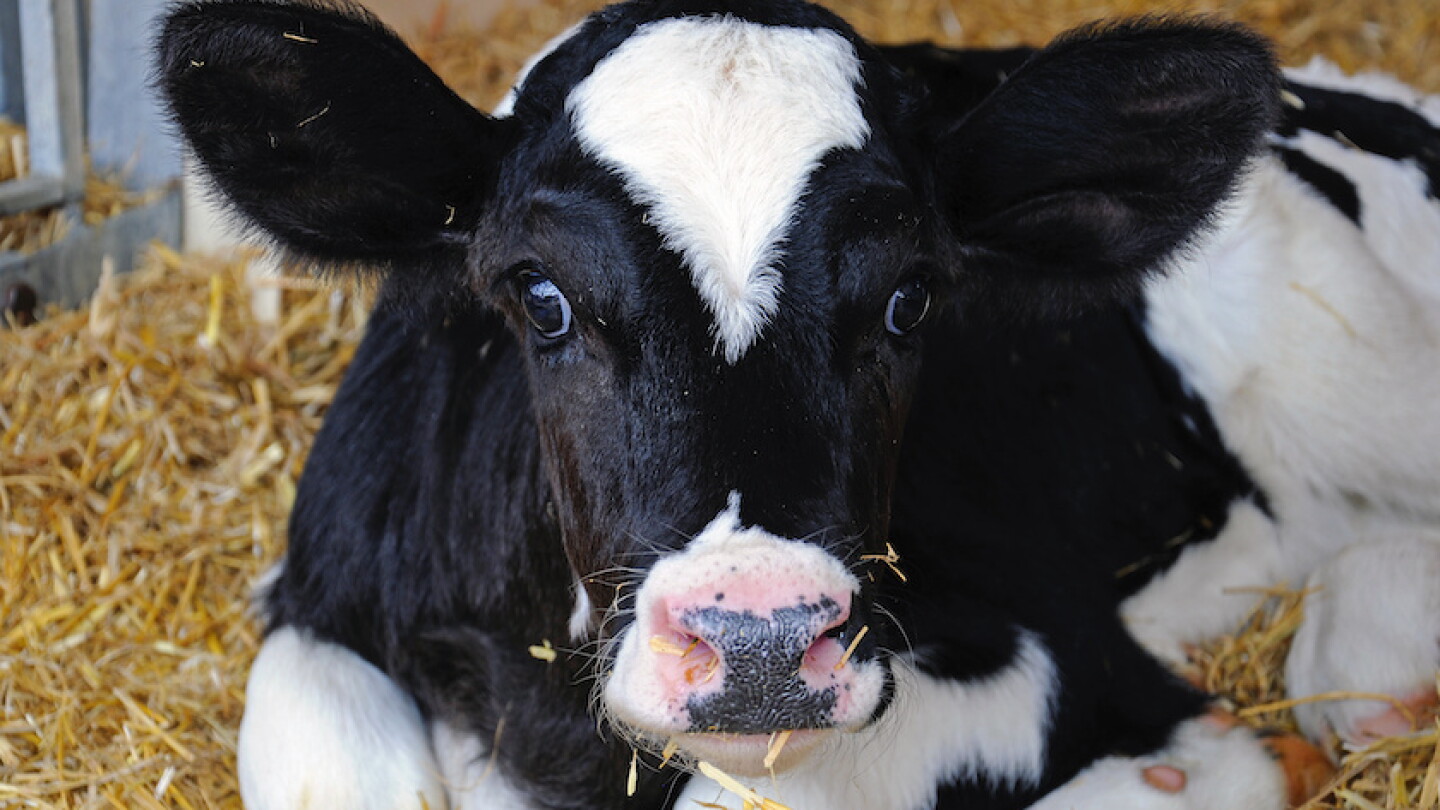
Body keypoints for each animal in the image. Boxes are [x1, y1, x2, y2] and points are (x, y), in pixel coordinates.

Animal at [154, 1, 1440, 808]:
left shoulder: (1073, 659)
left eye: (913, 298)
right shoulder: (327, 580)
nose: (762, 643)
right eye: (540, 295)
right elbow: (318, 735)